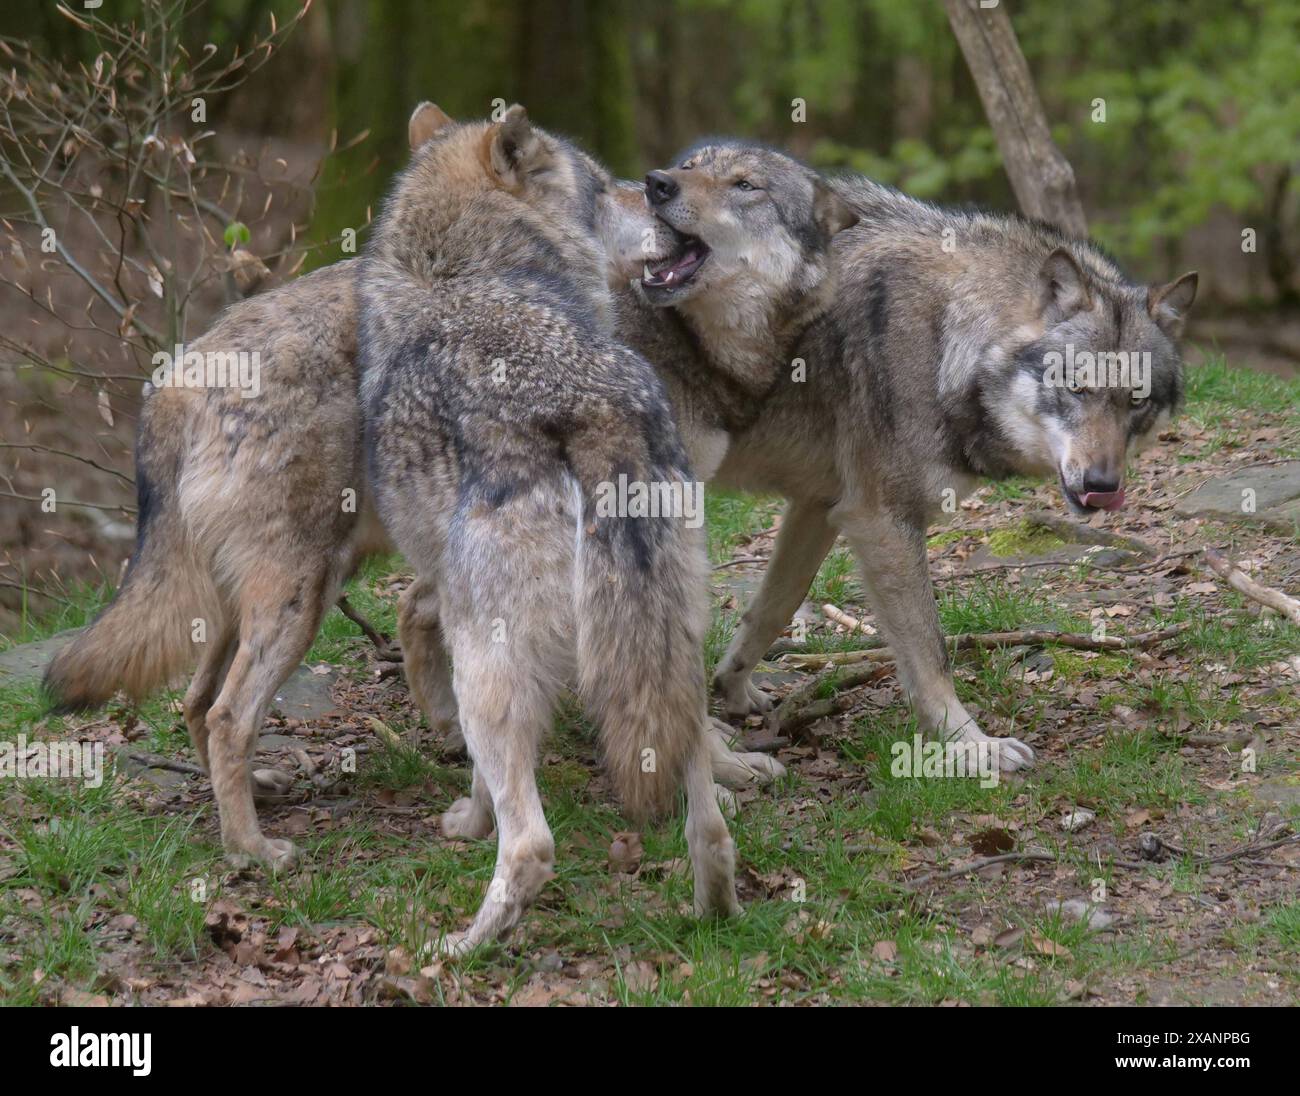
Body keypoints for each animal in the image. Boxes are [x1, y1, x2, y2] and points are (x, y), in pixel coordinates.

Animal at [673, 164, 1199, 769]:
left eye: (1136, 401)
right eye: (1075, 386)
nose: (1102, 485)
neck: (947, 336)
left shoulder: (821, 505)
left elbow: (772, 608)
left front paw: (734, 688)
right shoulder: (882, 520)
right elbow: (930, 651)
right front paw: (970, 746)